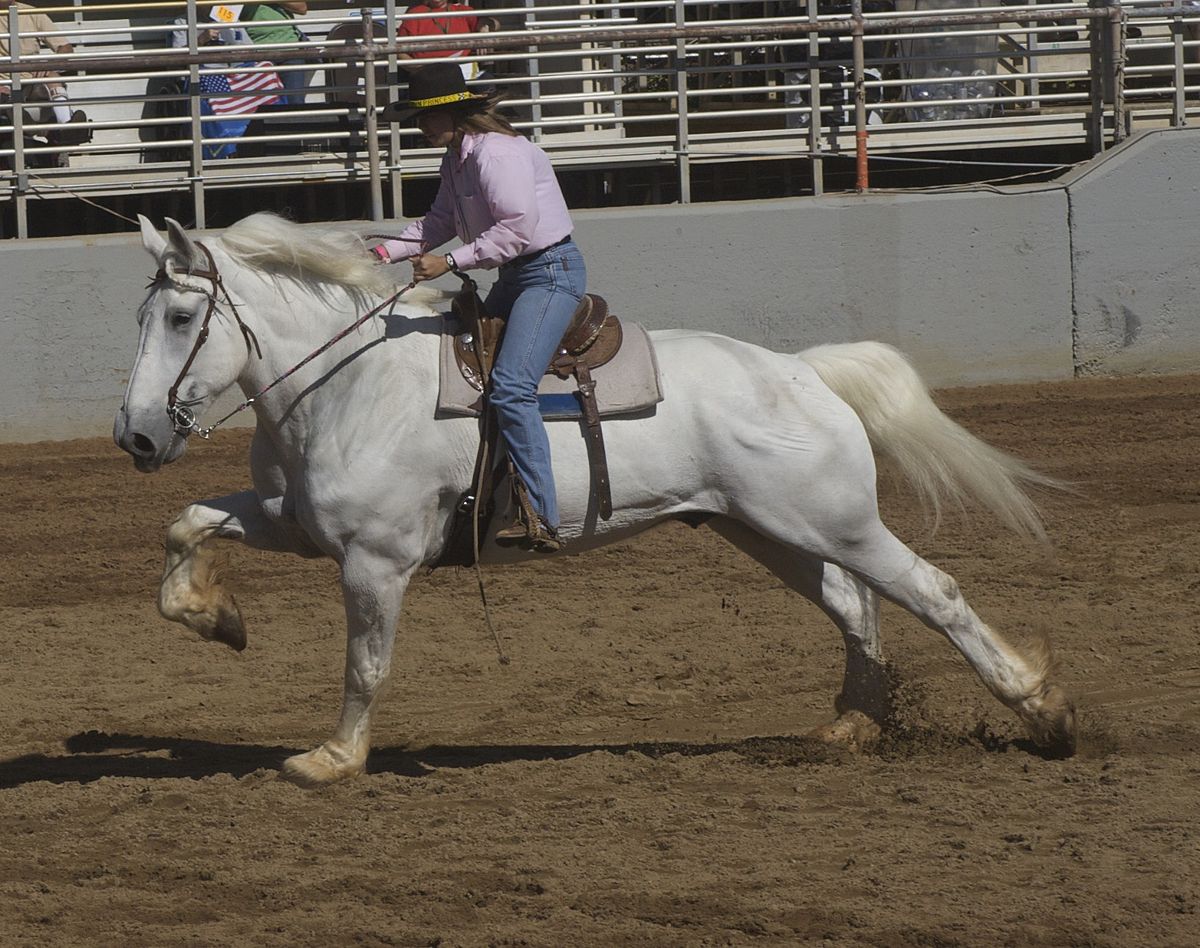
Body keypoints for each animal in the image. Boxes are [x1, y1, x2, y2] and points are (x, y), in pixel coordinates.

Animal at [114, 212, 1077, 787]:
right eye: (139, 317)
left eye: (179, 319)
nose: (135, 437)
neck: (351, 384)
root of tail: (803, 369)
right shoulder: (296, 523)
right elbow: (184, 525)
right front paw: (215, 618)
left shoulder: (376, 561)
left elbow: (366, 662)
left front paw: (333, 757)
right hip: (771, 529)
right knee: (855, 605)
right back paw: (852, 727)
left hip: (835, 523)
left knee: (932, 593)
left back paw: (1045, 710)